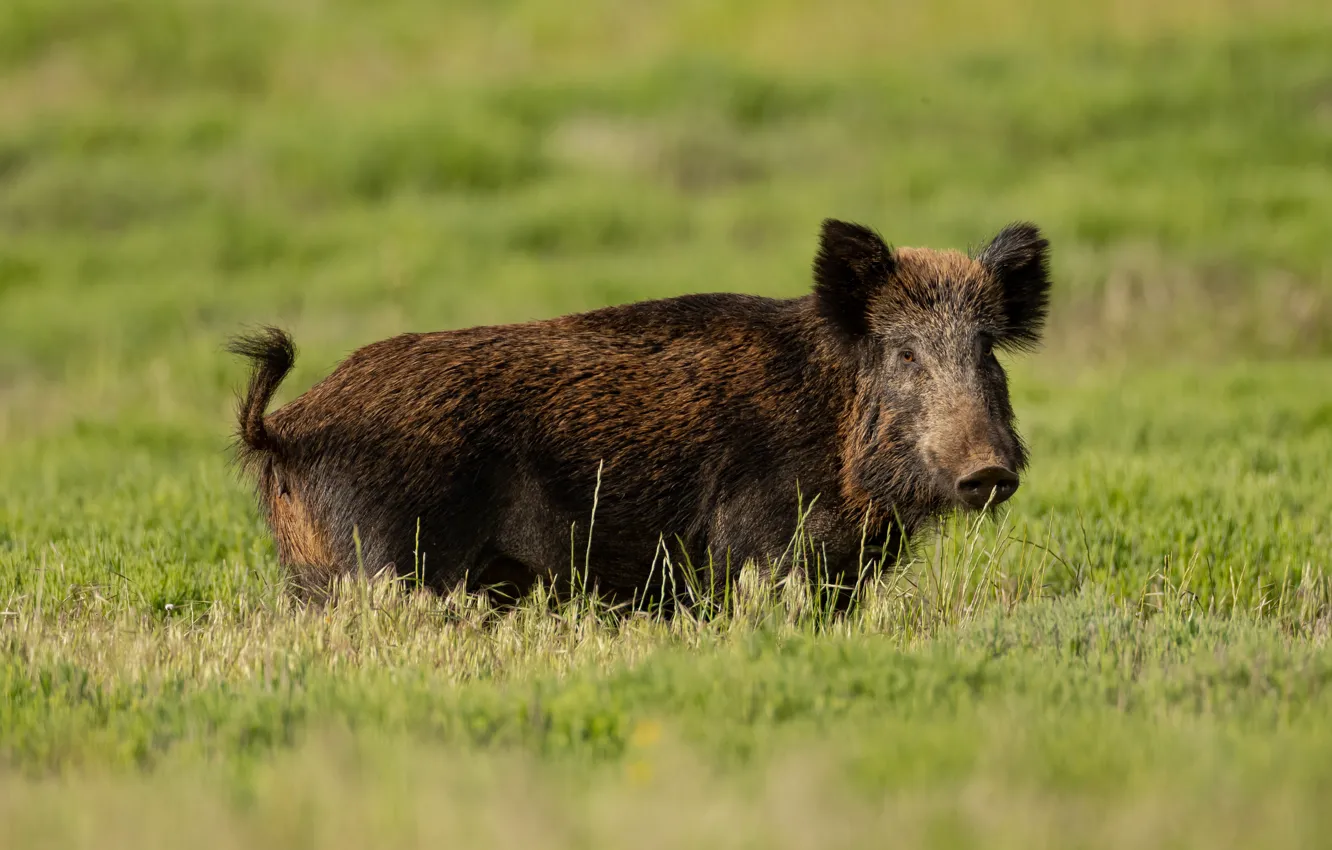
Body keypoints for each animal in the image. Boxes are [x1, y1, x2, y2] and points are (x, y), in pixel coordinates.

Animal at [227, 219, 1050, 604]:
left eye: (987, 349)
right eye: (905, 353)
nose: (988, 470)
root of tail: (286, 427)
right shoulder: (766, 548)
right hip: (388, 563)